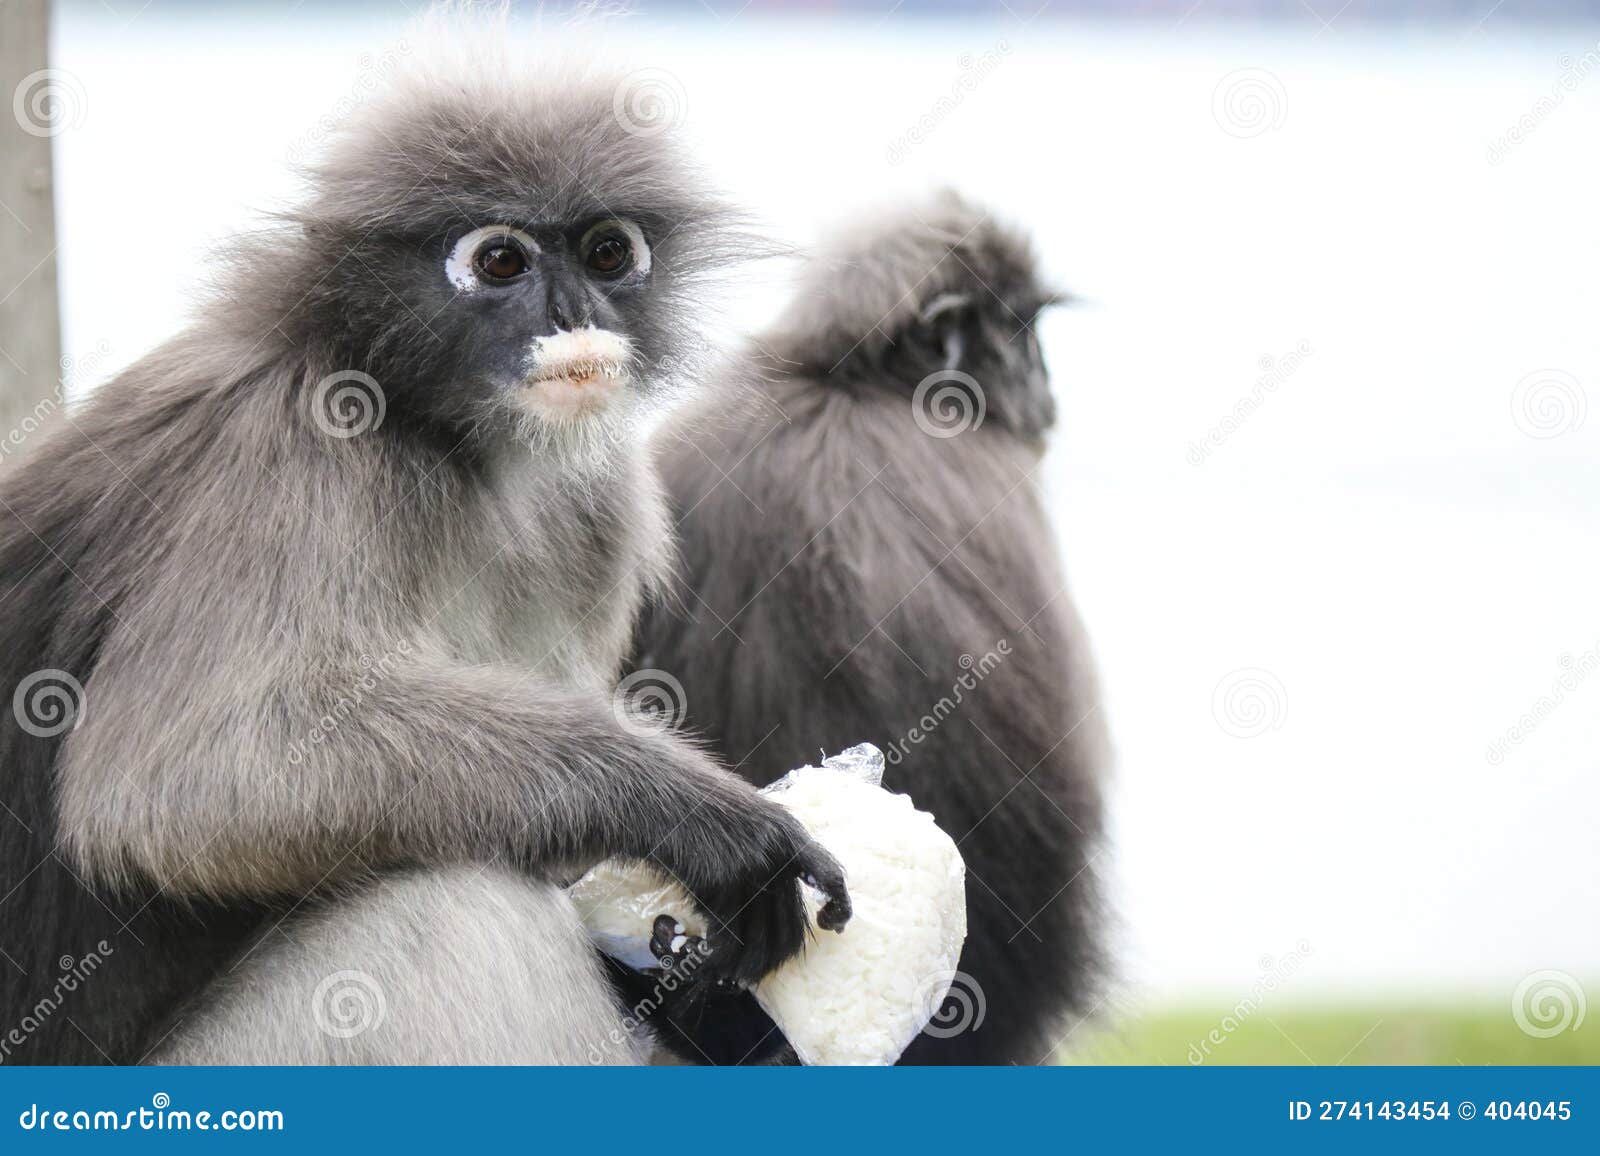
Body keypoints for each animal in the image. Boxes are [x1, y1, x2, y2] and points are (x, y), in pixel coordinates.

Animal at [0, 47, 850, 1066]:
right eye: (500, 261)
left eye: (607, 252)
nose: (574, 312)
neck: (450, 440)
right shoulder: (293, 440)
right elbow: (181, 778)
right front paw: (696, 816)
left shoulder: (598, 500)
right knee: (449, 910)